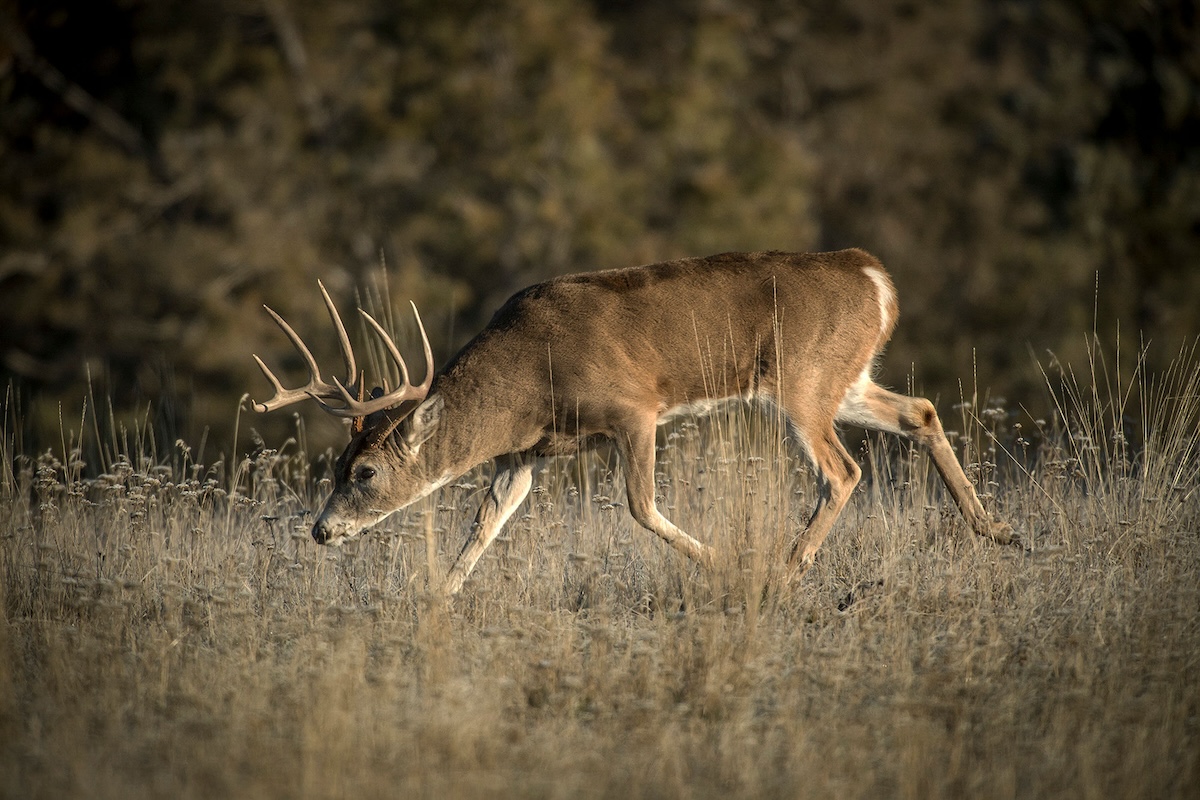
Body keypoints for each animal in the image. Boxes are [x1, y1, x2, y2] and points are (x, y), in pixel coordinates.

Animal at [251, 249, 1014, 597]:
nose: (320, 531)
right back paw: (995, 529)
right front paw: (433, 601)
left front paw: (731, 567)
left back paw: (785, 568)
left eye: (365, 472)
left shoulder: (633, 409)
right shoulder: (527, 451)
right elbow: (486, 523)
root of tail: (873, 277)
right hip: (842, 377)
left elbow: (641, 507)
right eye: (334, 468)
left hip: (802, 381)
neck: (529, 378)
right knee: (920, 411)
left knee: (844, 469)